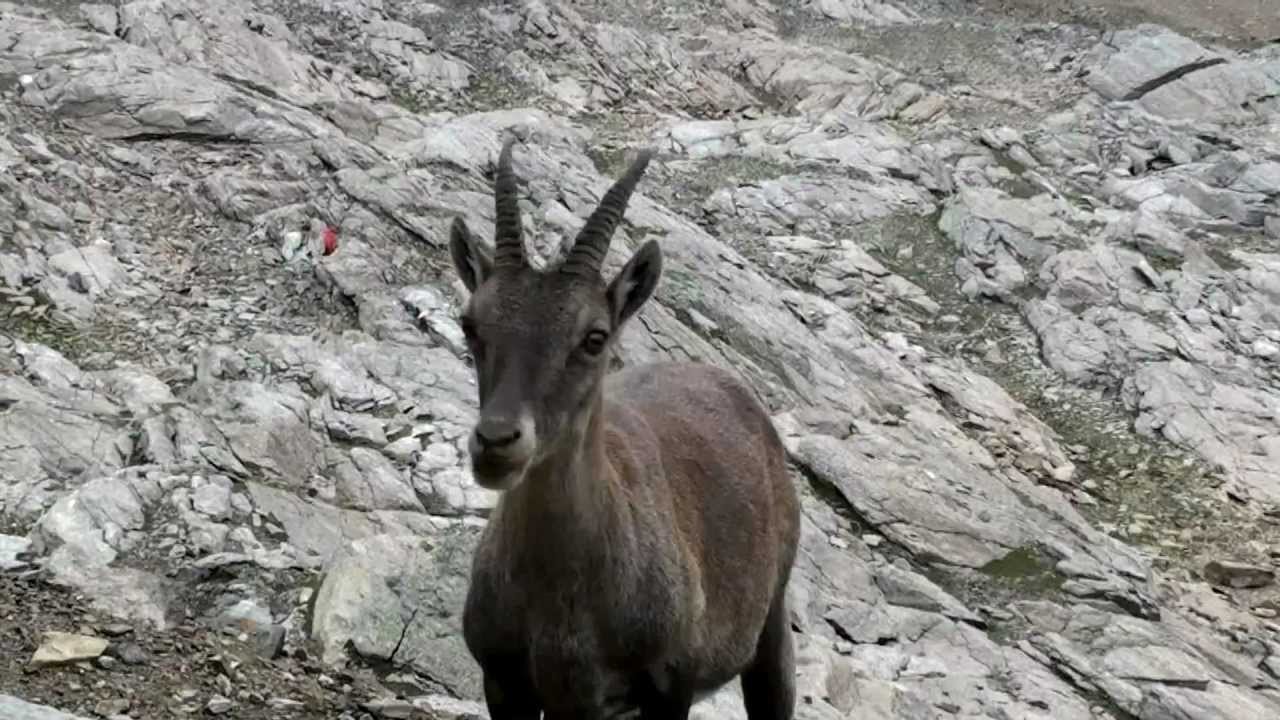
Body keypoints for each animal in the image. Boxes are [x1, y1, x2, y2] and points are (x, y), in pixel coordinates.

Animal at [448, 137, 801, 720]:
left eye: (594, 337)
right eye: (470, 324)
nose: (497, 442)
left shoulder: (669, 685)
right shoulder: (505, 682)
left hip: (771, 619)